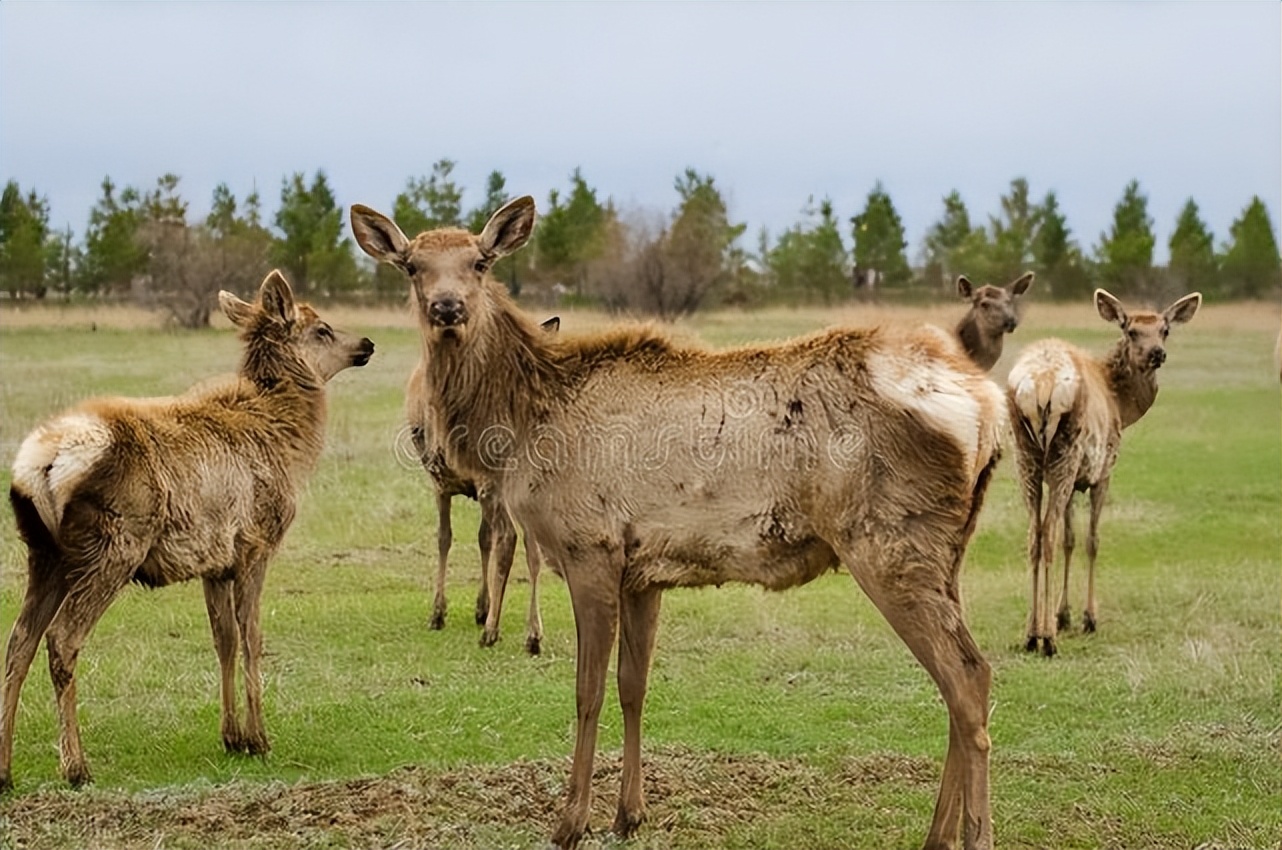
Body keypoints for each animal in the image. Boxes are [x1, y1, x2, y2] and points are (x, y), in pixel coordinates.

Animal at [0, 270, 374, 793]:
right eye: (321, 329)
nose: (366, 344)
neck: (289, 443)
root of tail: (40, 465)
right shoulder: (257, 544)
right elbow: (253, 636)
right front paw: (261, 738)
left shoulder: (215, 561)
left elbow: (224, 640)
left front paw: (232, 737)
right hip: (114, 546)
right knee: (62, 638)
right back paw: (75, 766)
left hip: (44, 552)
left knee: (19, 642)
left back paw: (5, 770)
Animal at [404, 311, 558, 653]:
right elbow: (482, 537)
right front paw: (482, 606)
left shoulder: (441, 481)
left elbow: (444, 537)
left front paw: (438, 612)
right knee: (531, 546)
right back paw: (533, 635)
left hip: (494, 480)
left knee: (510, 538)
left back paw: (491, 632)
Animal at [1007, 288, 1201, 656]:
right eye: (1131, 330)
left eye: (1165, 329)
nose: (1157, 353)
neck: (1121, 405)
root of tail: (1041, 383)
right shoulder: (1104, 469)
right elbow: (1092, 540)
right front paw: (1087, 618)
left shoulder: (1074, 482)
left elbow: (1070, 539)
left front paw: (1063, 615)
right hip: (1066, 451)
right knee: (1047, 533)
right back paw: (1046, 639)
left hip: (1027, 456)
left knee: (1033, 534)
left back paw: (1029, 633)